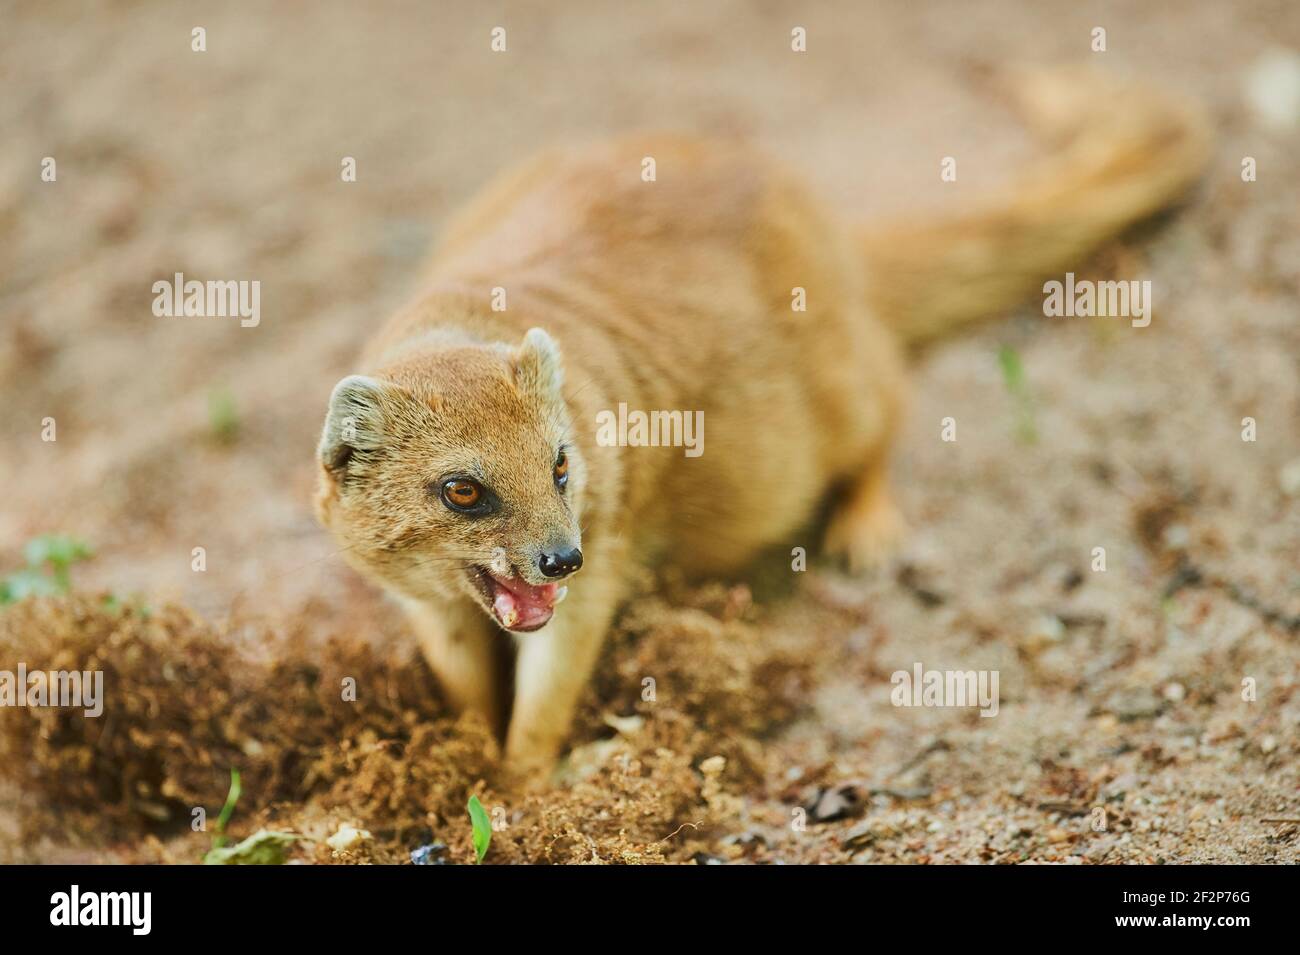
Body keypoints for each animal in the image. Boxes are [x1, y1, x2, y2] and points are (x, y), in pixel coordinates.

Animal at [315, 70, 1209, 772]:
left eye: (562, 463)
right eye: (463, 489)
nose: (559, 556)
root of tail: (826, 224)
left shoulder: (606, 557)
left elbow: (550, 690)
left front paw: (520, 790)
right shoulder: (425, 605)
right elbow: (462, 679)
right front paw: (464, 755)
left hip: (840, 383)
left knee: (890, 402)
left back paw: (867, 525)